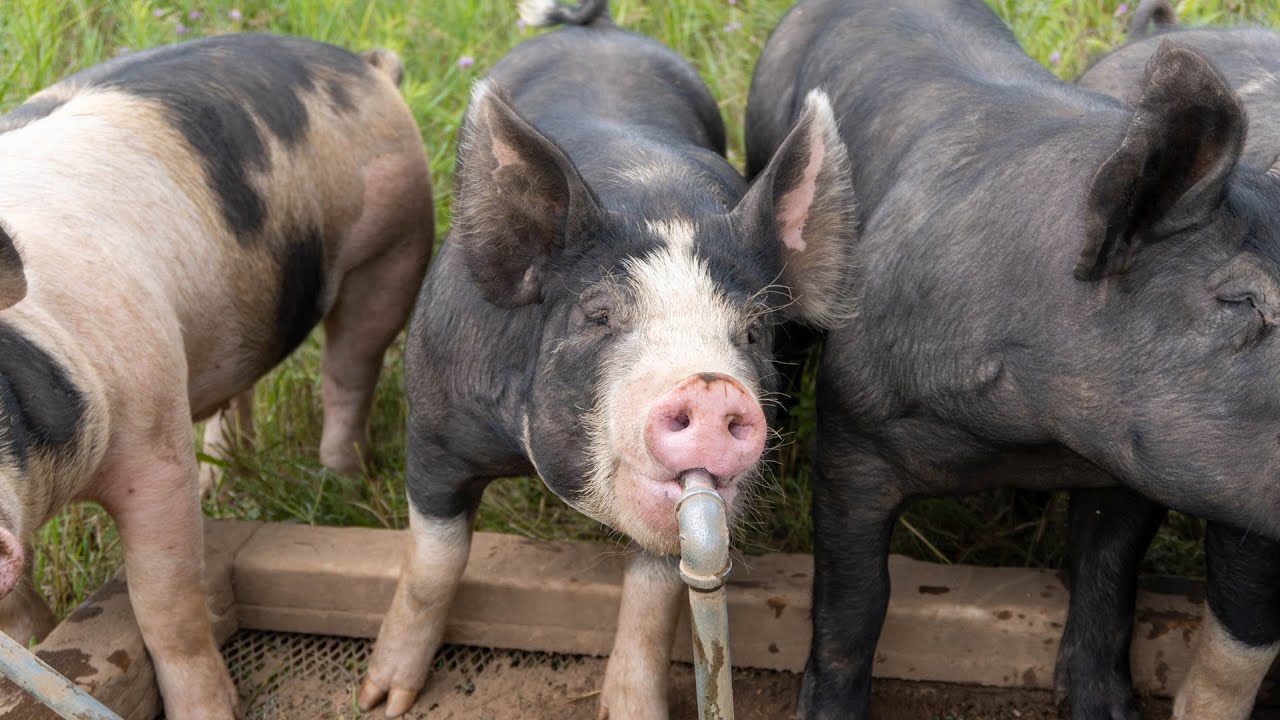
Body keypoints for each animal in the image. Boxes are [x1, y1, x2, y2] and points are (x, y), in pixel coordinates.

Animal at [0, 33, 433, 718]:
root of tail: (361, 65)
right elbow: (20, 620)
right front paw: (40, 644)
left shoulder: (152, 435)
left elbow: (165, 598)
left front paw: (211, 709)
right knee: (242, 388)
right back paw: (224, 484)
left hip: (393, 241)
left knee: (350, 367)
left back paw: (338, 478)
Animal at [355, 1, 860, 717]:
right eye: (598, 315)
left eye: (754, 331)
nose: (710, 387)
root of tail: (599, 26)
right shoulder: (431, 427)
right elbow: (434, 559)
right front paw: (382, 700)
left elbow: (652, 597)